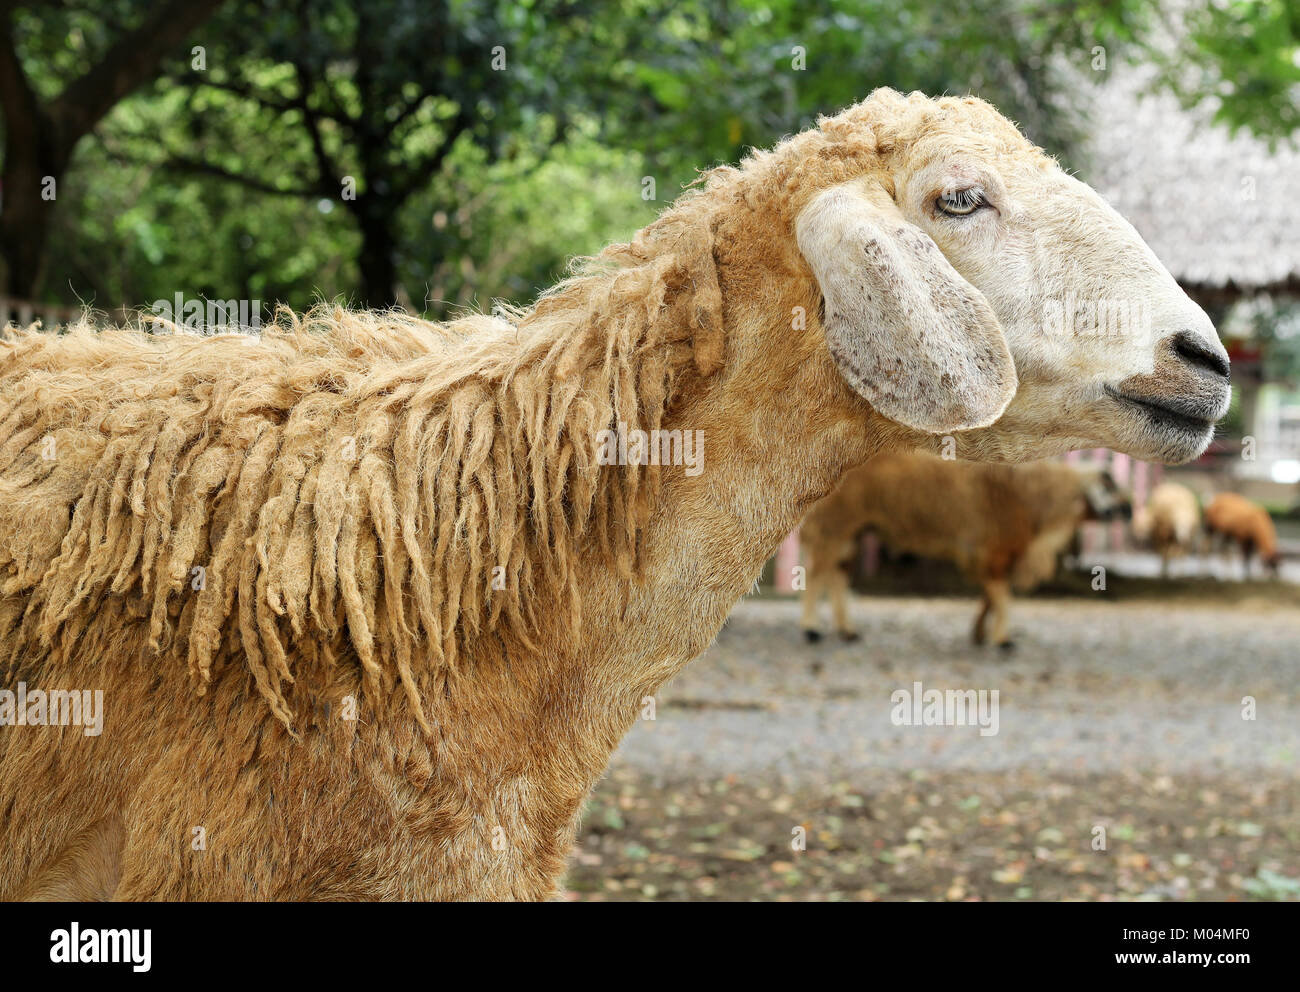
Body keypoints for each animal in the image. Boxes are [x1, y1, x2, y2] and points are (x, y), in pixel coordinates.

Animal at [799, 452, 1129, 648]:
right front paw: (1001, 639)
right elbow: (1001, 595)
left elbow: (991, 596)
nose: (1129, 513)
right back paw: (812, 629)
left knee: (836, 575)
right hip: (835, 521)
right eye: (1112, 489)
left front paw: (980, 633)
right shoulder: (993, 548)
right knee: (816, 575)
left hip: (851, 528)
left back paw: (847, 630)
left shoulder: (995, 553)